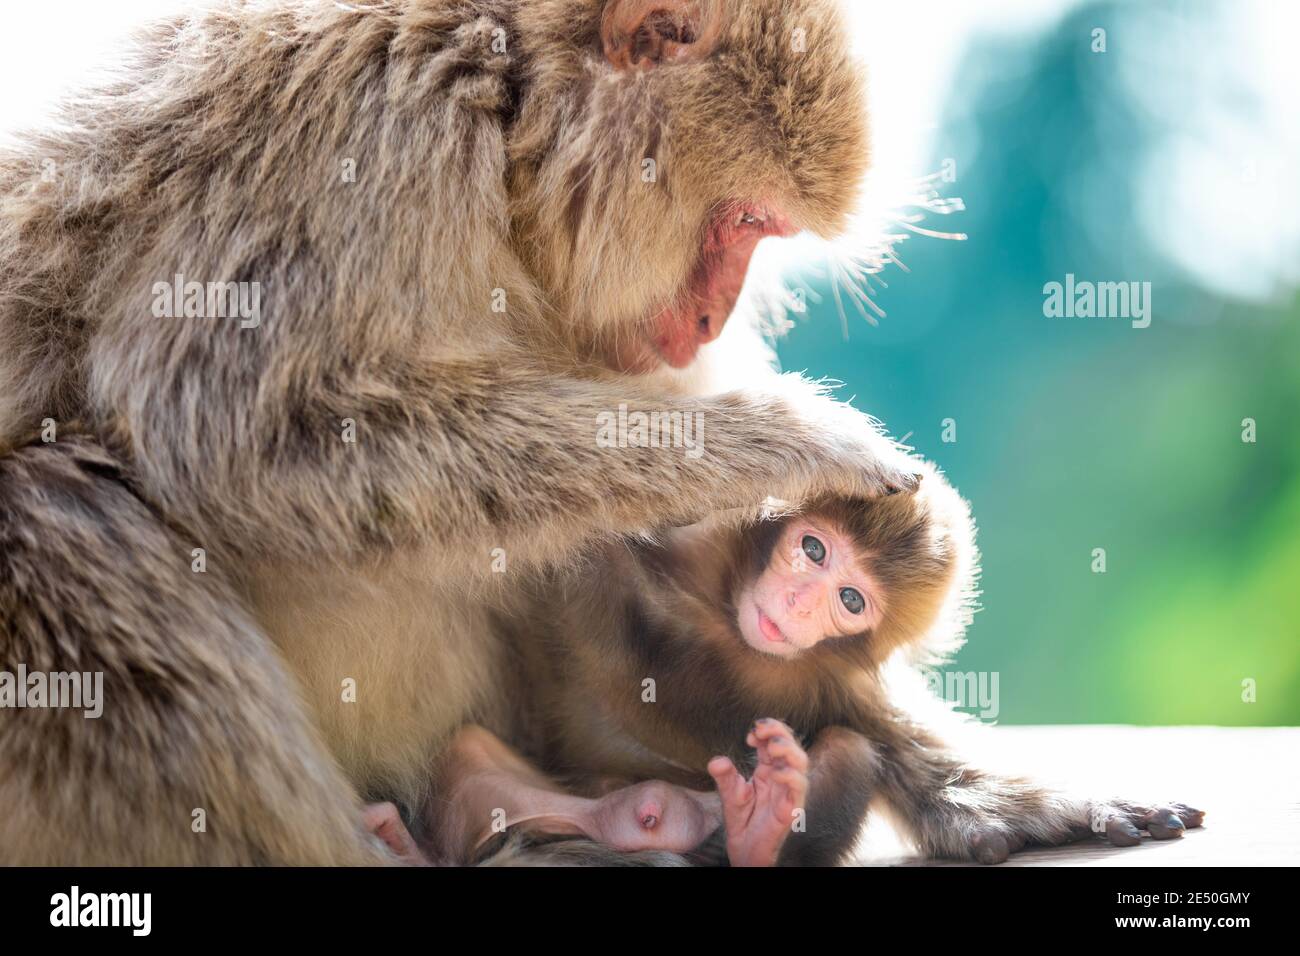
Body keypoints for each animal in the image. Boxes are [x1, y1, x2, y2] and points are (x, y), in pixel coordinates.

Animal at [0, 0, 922, 864]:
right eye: (746, 221)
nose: (709, 320)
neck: (505, 125)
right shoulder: (362, 125)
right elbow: (228, 437)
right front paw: (779, 442)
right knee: (52, 510)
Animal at [474, 464, 1205, 866]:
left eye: (850, 600)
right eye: (813, 550)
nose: (798, 603)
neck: (725, 629)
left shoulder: (841, 683)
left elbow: (944, 788)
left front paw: (1076, 810)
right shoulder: (622, 561)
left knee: (851, 752)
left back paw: (758, 836)